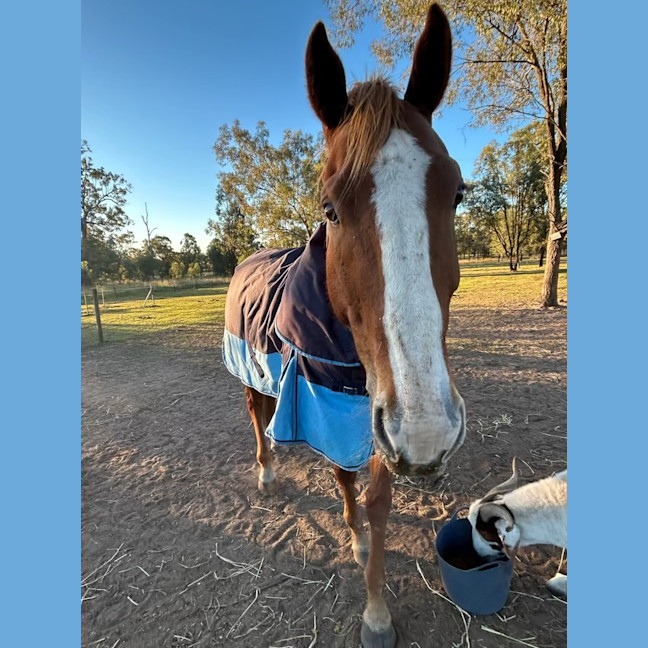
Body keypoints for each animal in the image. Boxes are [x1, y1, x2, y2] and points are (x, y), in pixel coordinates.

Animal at [222, 4, 466, 646]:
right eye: (330, 208)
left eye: (458, 193)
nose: (430, 432)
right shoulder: (327, 399)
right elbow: (342, 475)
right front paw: (356, 547)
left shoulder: (379, 408)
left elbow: (376, 497)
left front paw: (375, 603)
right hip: (253, 375)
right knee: (256, 415)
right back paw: (266, 472)